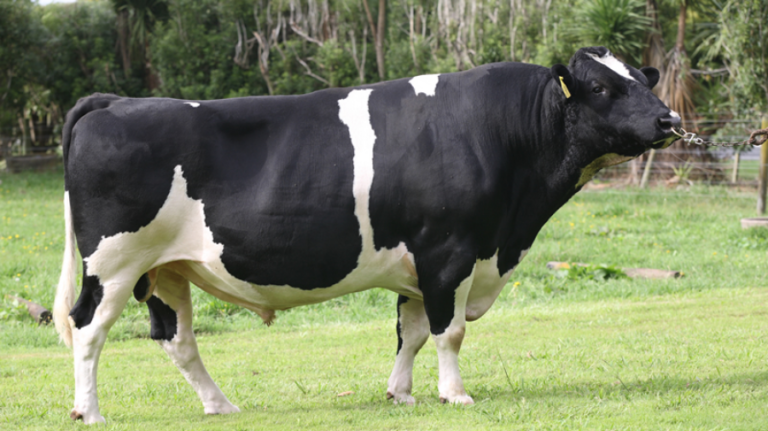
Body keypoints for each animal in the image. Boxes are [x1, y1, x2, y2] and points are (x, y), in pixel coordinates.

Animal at [53, 46, 680, 424]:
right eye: (601, 88)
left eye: (641, 80)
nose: (670, 120)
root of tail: (114, 102)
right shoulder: (450, 250)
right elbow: (449, 332)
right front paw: (454, 393)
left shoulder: (423, 261)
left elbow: (412, 331)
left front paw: (400, 392)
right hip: (113, 264)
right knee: (88, 329)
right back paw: (90, 411)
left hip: (166, 269)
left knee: (177, 339)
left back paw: (220, 404)